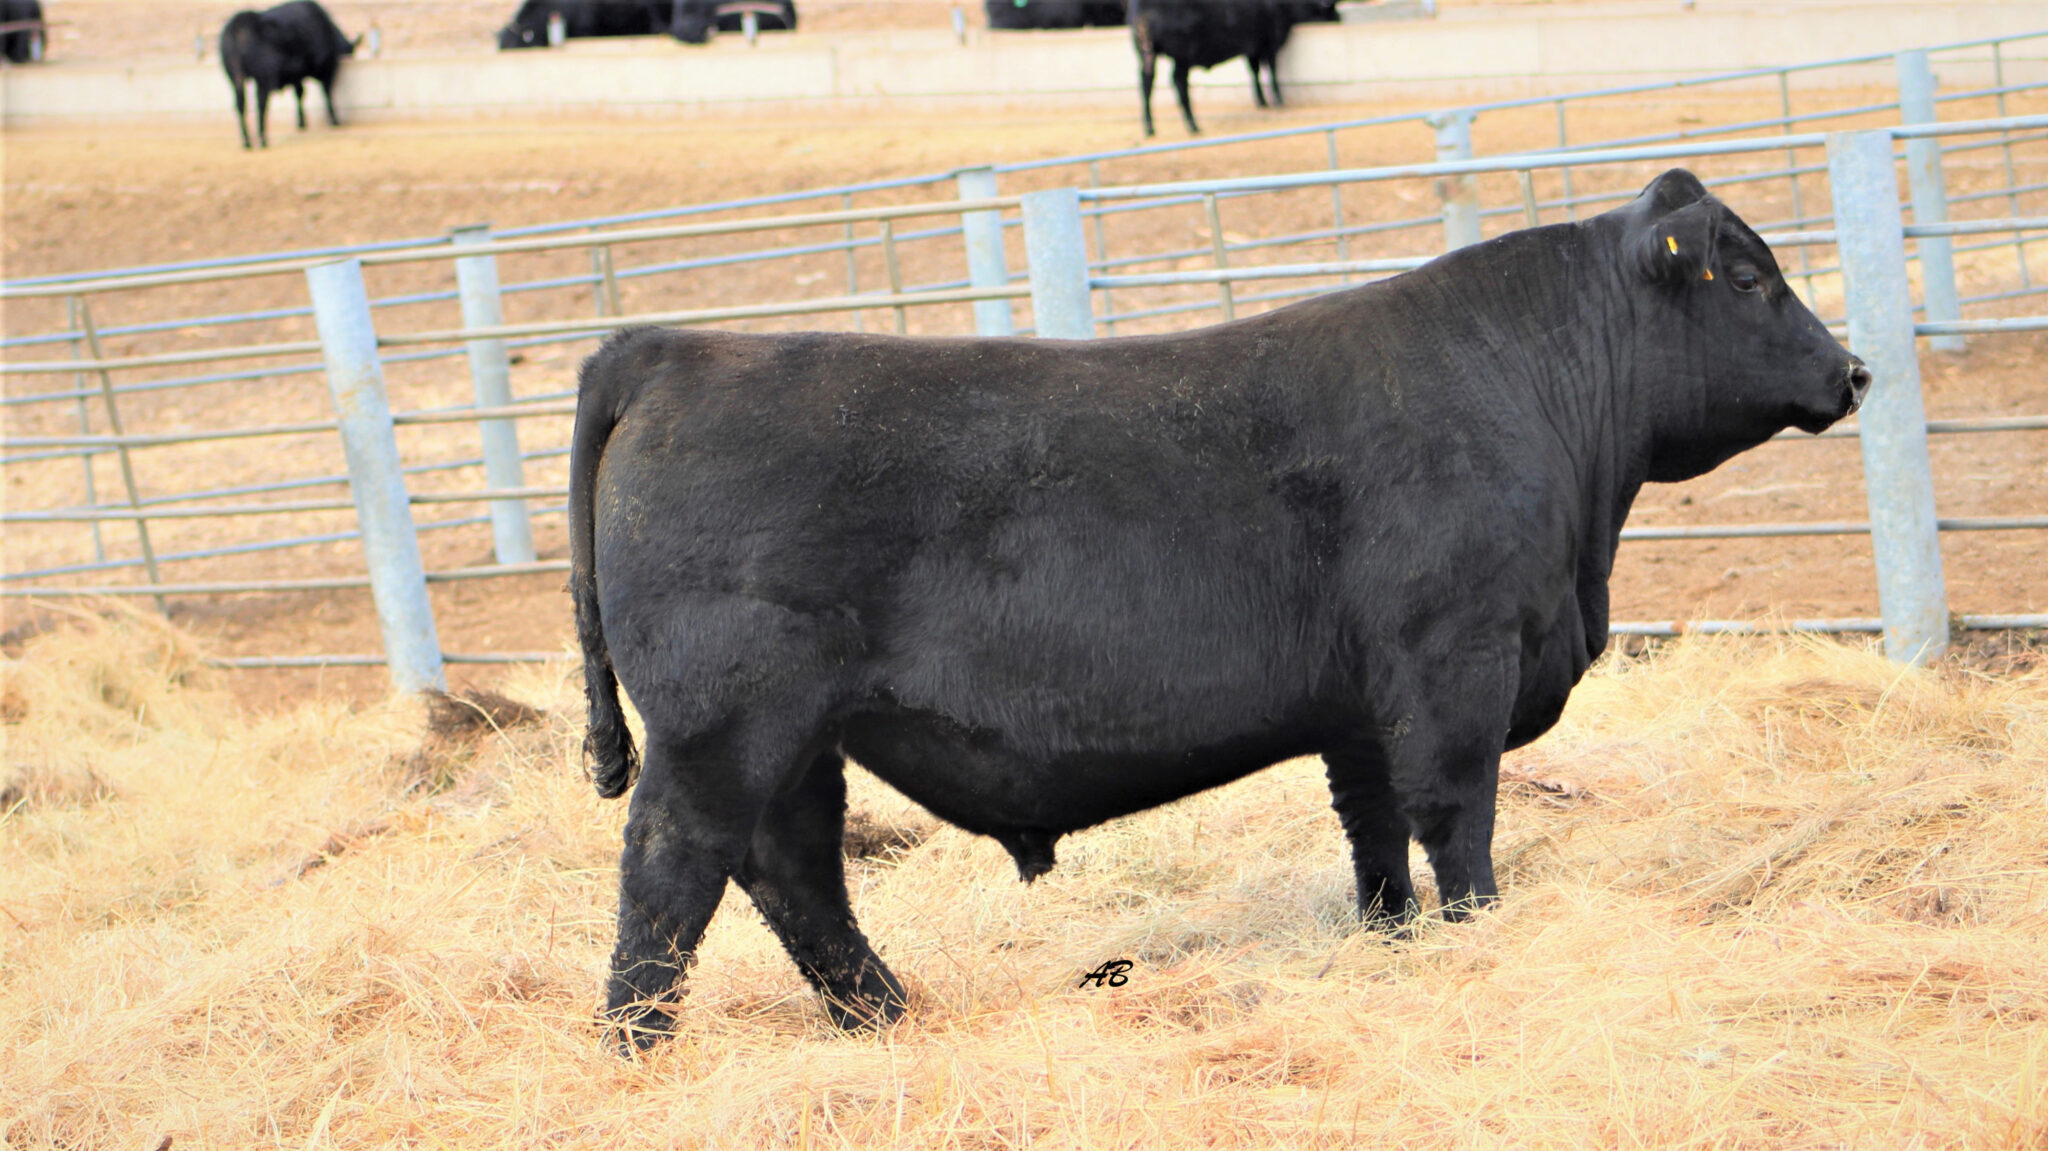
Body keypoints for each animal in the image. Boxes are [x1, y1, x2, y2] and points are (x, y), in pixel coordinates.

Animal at [219, 0, 359, 150]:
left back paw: (247, 142)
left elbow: (299, 94)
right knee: (261, 104)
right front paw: (334, 120)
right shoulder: (326, 68)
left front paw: (301, 123)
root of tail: (238, 23)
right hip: (263, 78)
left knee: (240, 105)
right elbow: (326, 93)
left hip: (236, 79)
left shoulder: (296, 74)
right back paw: (263, 139)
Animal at [568, 170, 1869, 1047]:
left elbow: (1372, 832)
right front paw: (1475, 938)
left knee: (792, 870)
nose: (1852, 371)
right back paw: (639, 1046)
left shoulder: (1359, 704)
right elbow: (1455, 815)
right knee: (674, 866)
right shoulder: (1455, 657)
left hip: (798, 737)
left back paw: (888, 1015)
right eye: (1746, 276)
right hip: (726, 723)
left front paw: (1391, 943)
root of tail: (670, 350)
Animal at [1130, 0, 1340, 136]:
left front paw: (1262, 101)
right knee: (1179, 82)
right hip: (1182, 54)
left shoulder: (1252, 47)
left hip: (1146, 53)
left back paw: (1150, 128)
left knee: (1146, 84)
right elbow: (1271, 70)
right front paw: (1278, 99)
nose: (1337, 16)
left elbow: (1254, 71)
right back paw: (1193, 125)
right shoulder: (1269, 42)